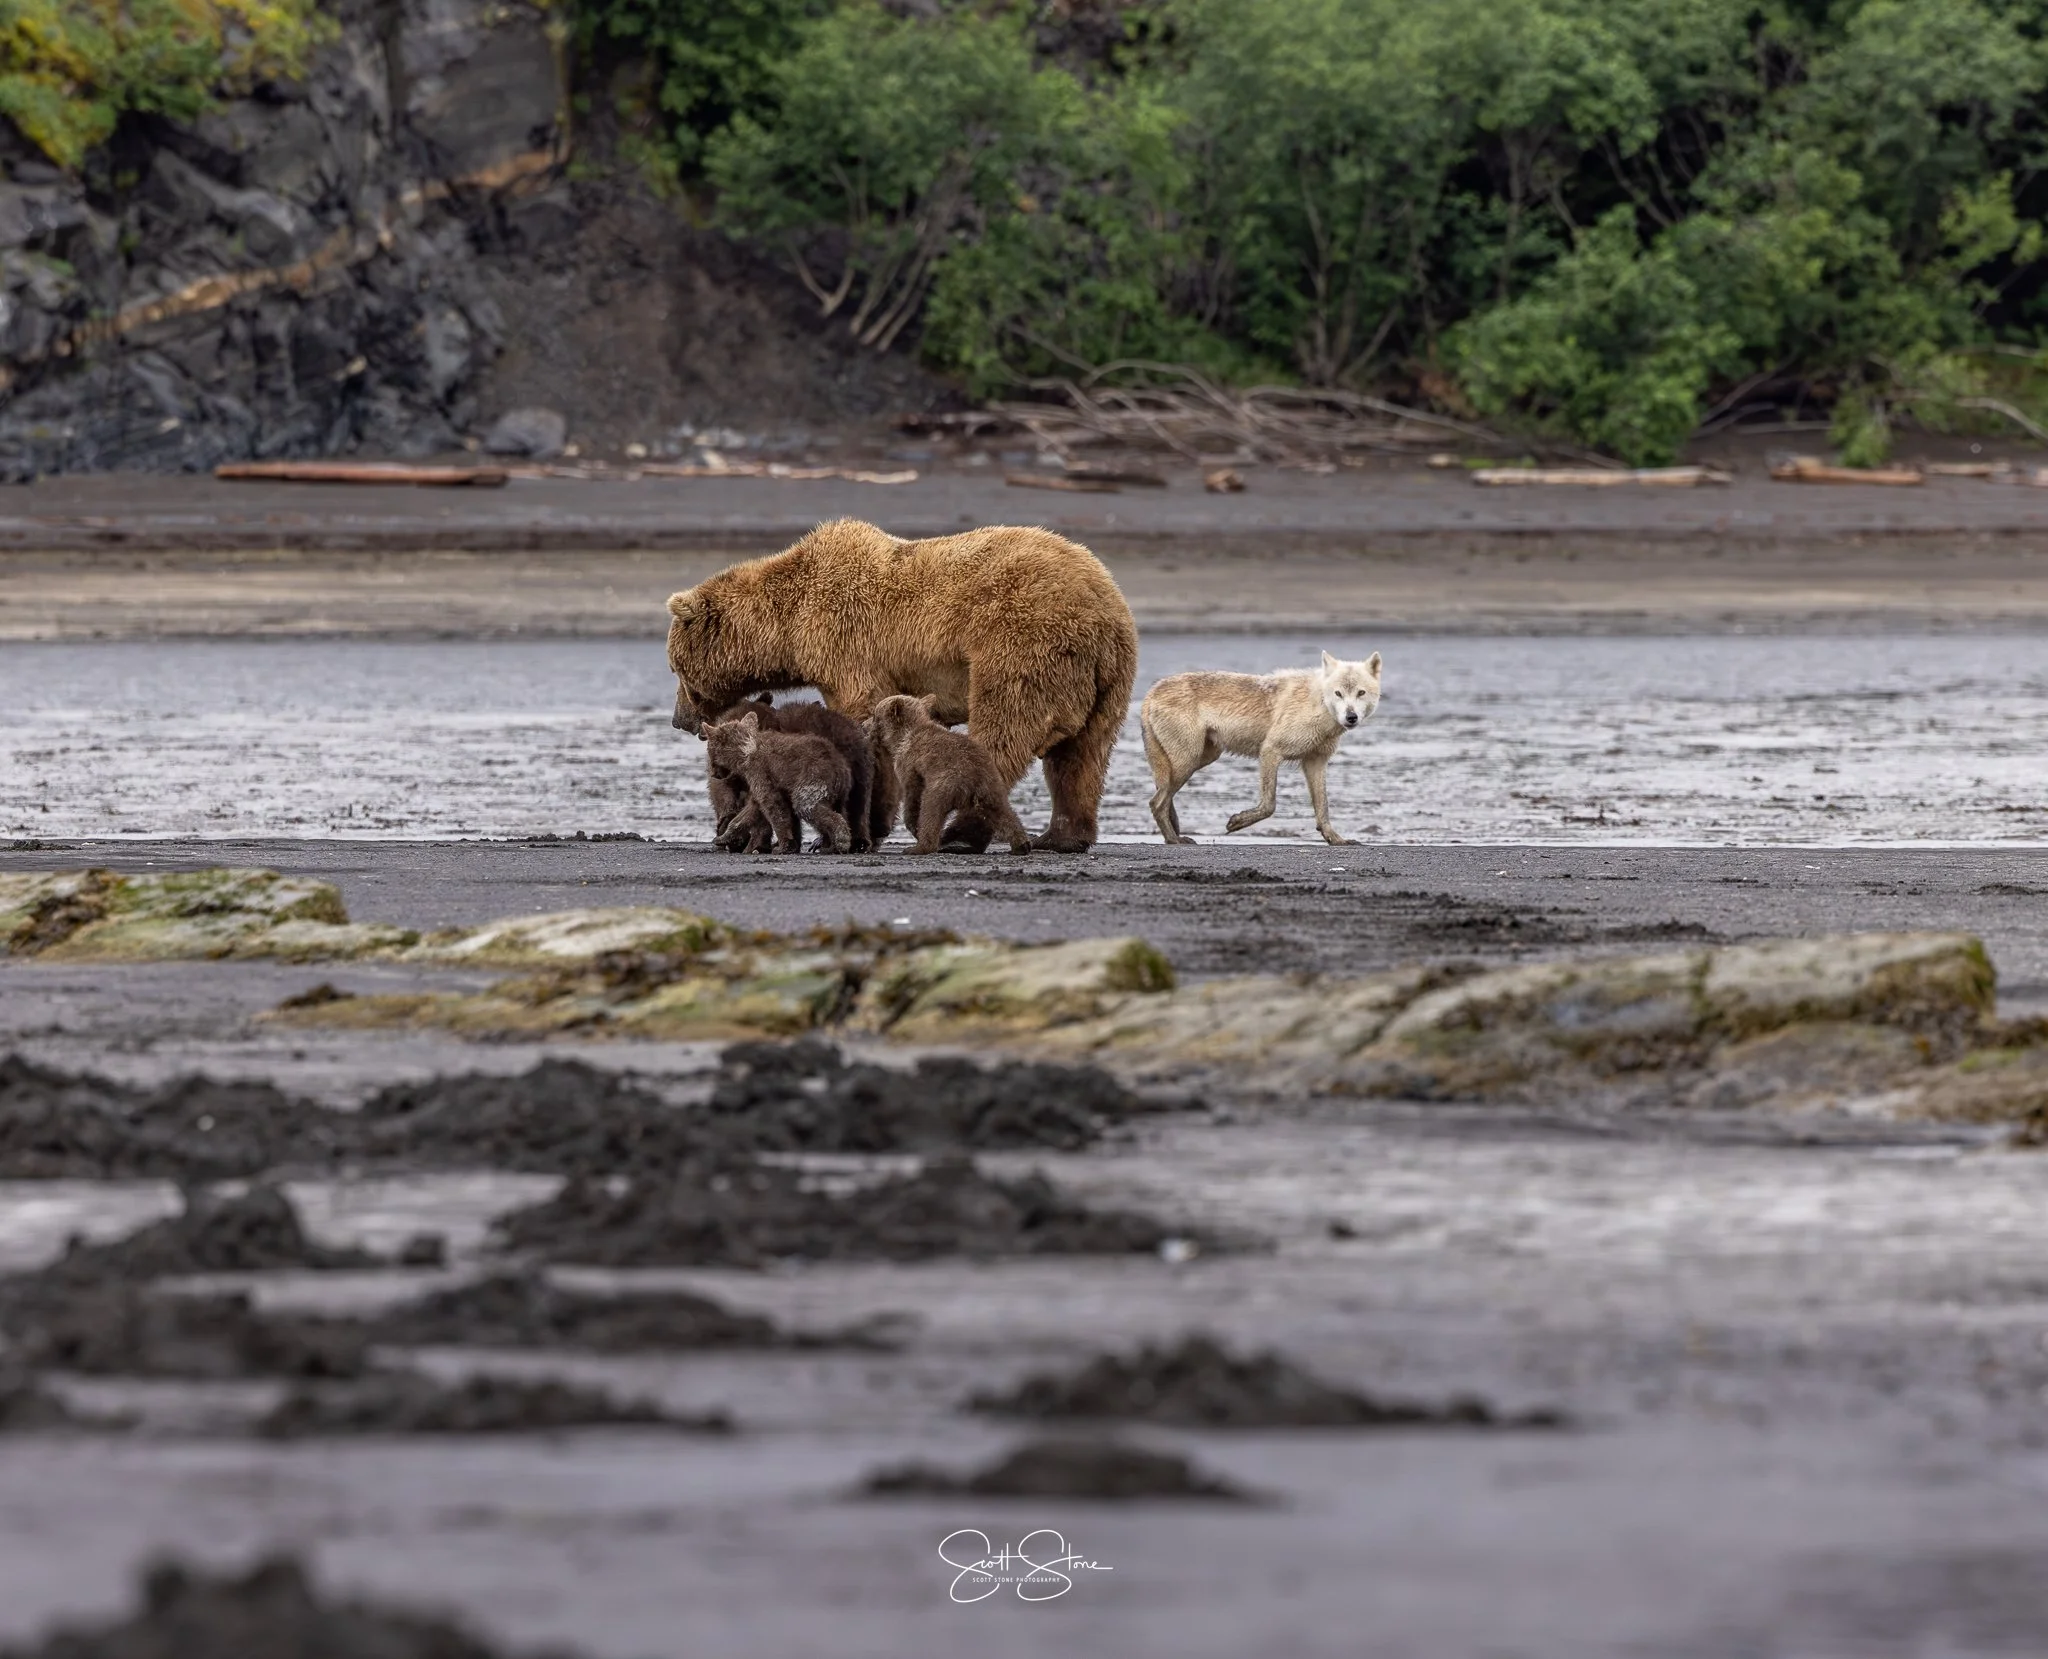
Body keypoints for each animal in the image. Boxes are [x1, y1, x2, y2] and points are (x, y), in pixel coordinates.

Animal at [705, 693, 886, 852]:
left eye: (710, 752)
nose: (714, 773)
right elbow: (755, 808)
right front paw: (725, 836)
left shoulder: (760, 772)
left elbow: (773, 807)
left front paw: (776, 845)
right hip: (854, 776)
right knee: (855, 804)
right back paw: (846, 843)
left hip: (816, 778)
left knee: (807, 805)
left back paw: (839, 840)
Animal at [867, 694, 1031, 855]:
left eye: (875, 714)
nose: (865, 724)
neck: (903, 735)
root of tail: (974, 781)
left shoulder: (909, 763)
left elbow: (912, 794)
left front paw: (914, 826)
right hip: (992, 786)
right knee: (1004, 813)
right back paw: (1021, 844)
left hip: (944, 783)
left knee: (931, 811)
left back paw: (919, 847)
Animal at [1140, 650, 1382, 845]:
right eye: (1338, 693)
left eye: (1360, 693)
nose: (1351, 717)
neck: (1319, 704)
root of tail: (1151, 691)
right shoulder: (1270, 751)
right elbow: (1269, 805)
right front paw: (1237, 822)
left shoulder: (1316, 762)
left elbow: (1323, 808)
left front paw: (1335, 839)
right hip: (1187, 763)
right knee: (1156, 802)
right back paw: (1173, 840)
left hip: (1201, 758)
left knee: (1162, 798)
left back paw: (1174, 836)